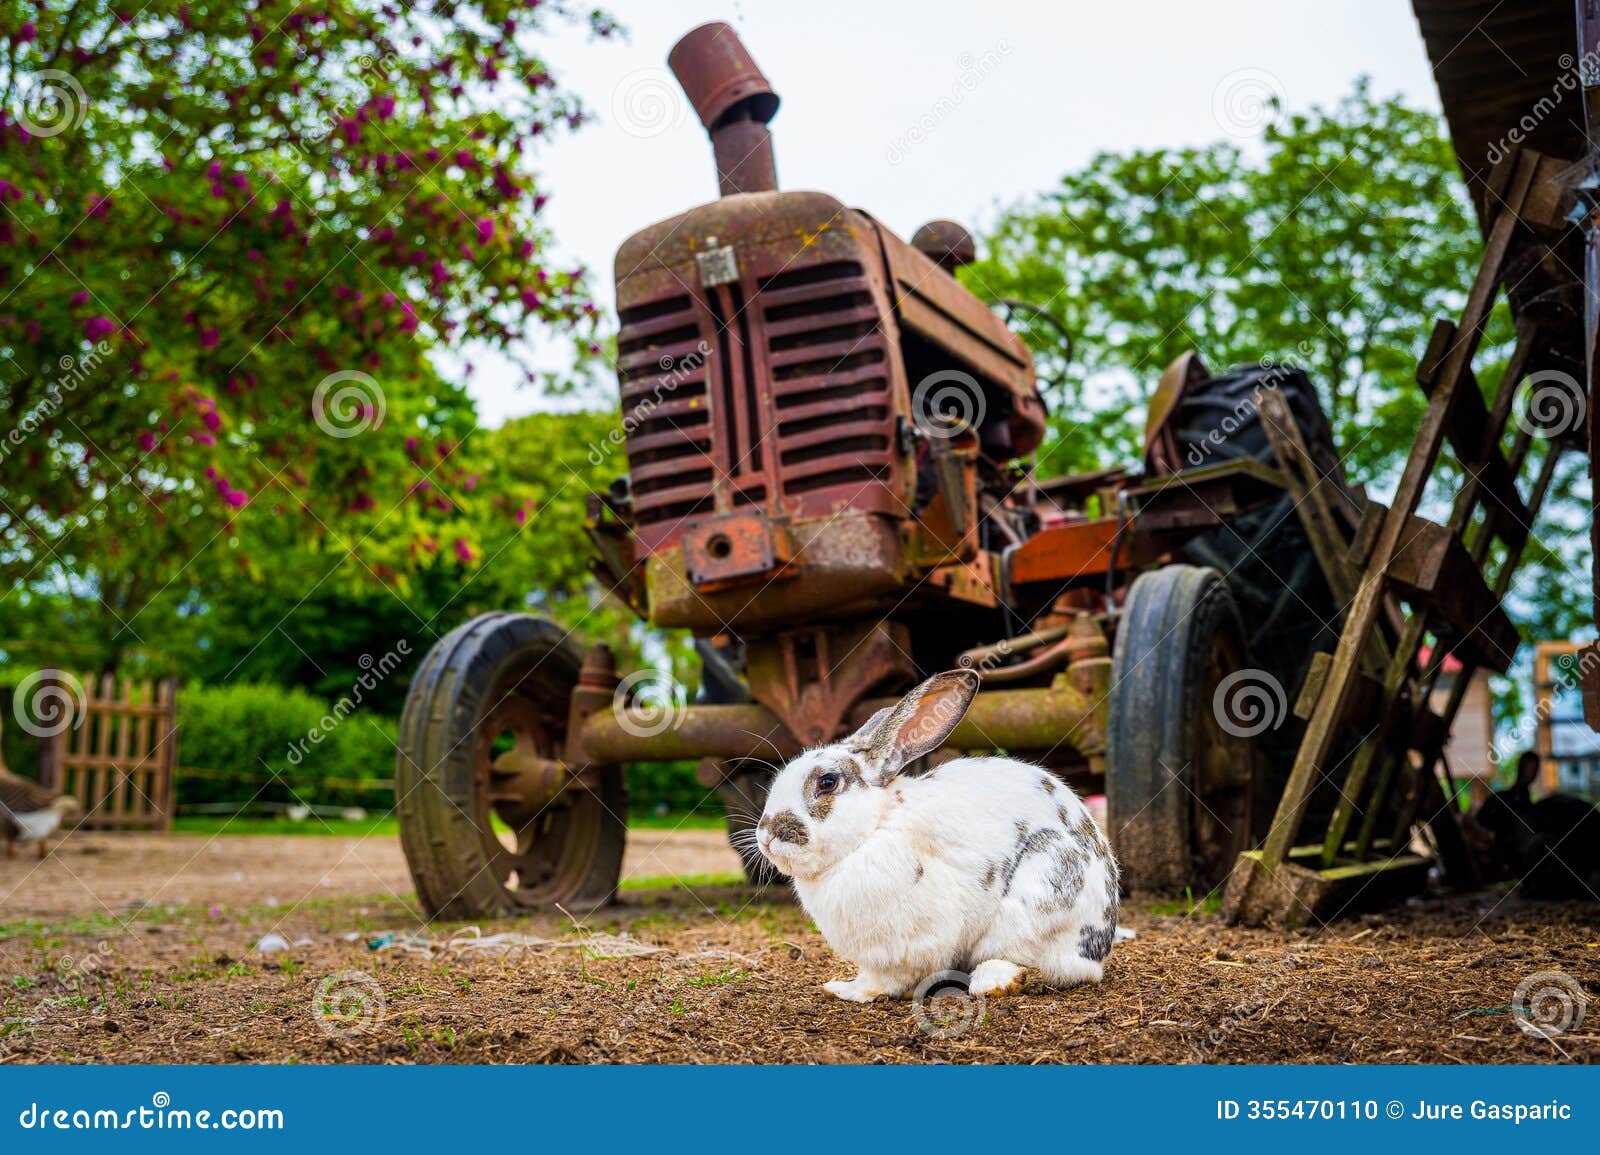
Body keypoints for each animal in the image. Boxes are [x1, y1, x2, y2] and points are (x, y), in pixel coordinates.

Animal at [753, 668, 1120, 1002]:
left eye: (827, 782)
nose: (766, 834)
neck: (874, 828)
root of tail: (1098, 950)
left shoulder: (903, 947)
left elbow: (883, 979)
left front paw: (848, 991)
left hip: (1043, 888)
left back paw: (992, 982)